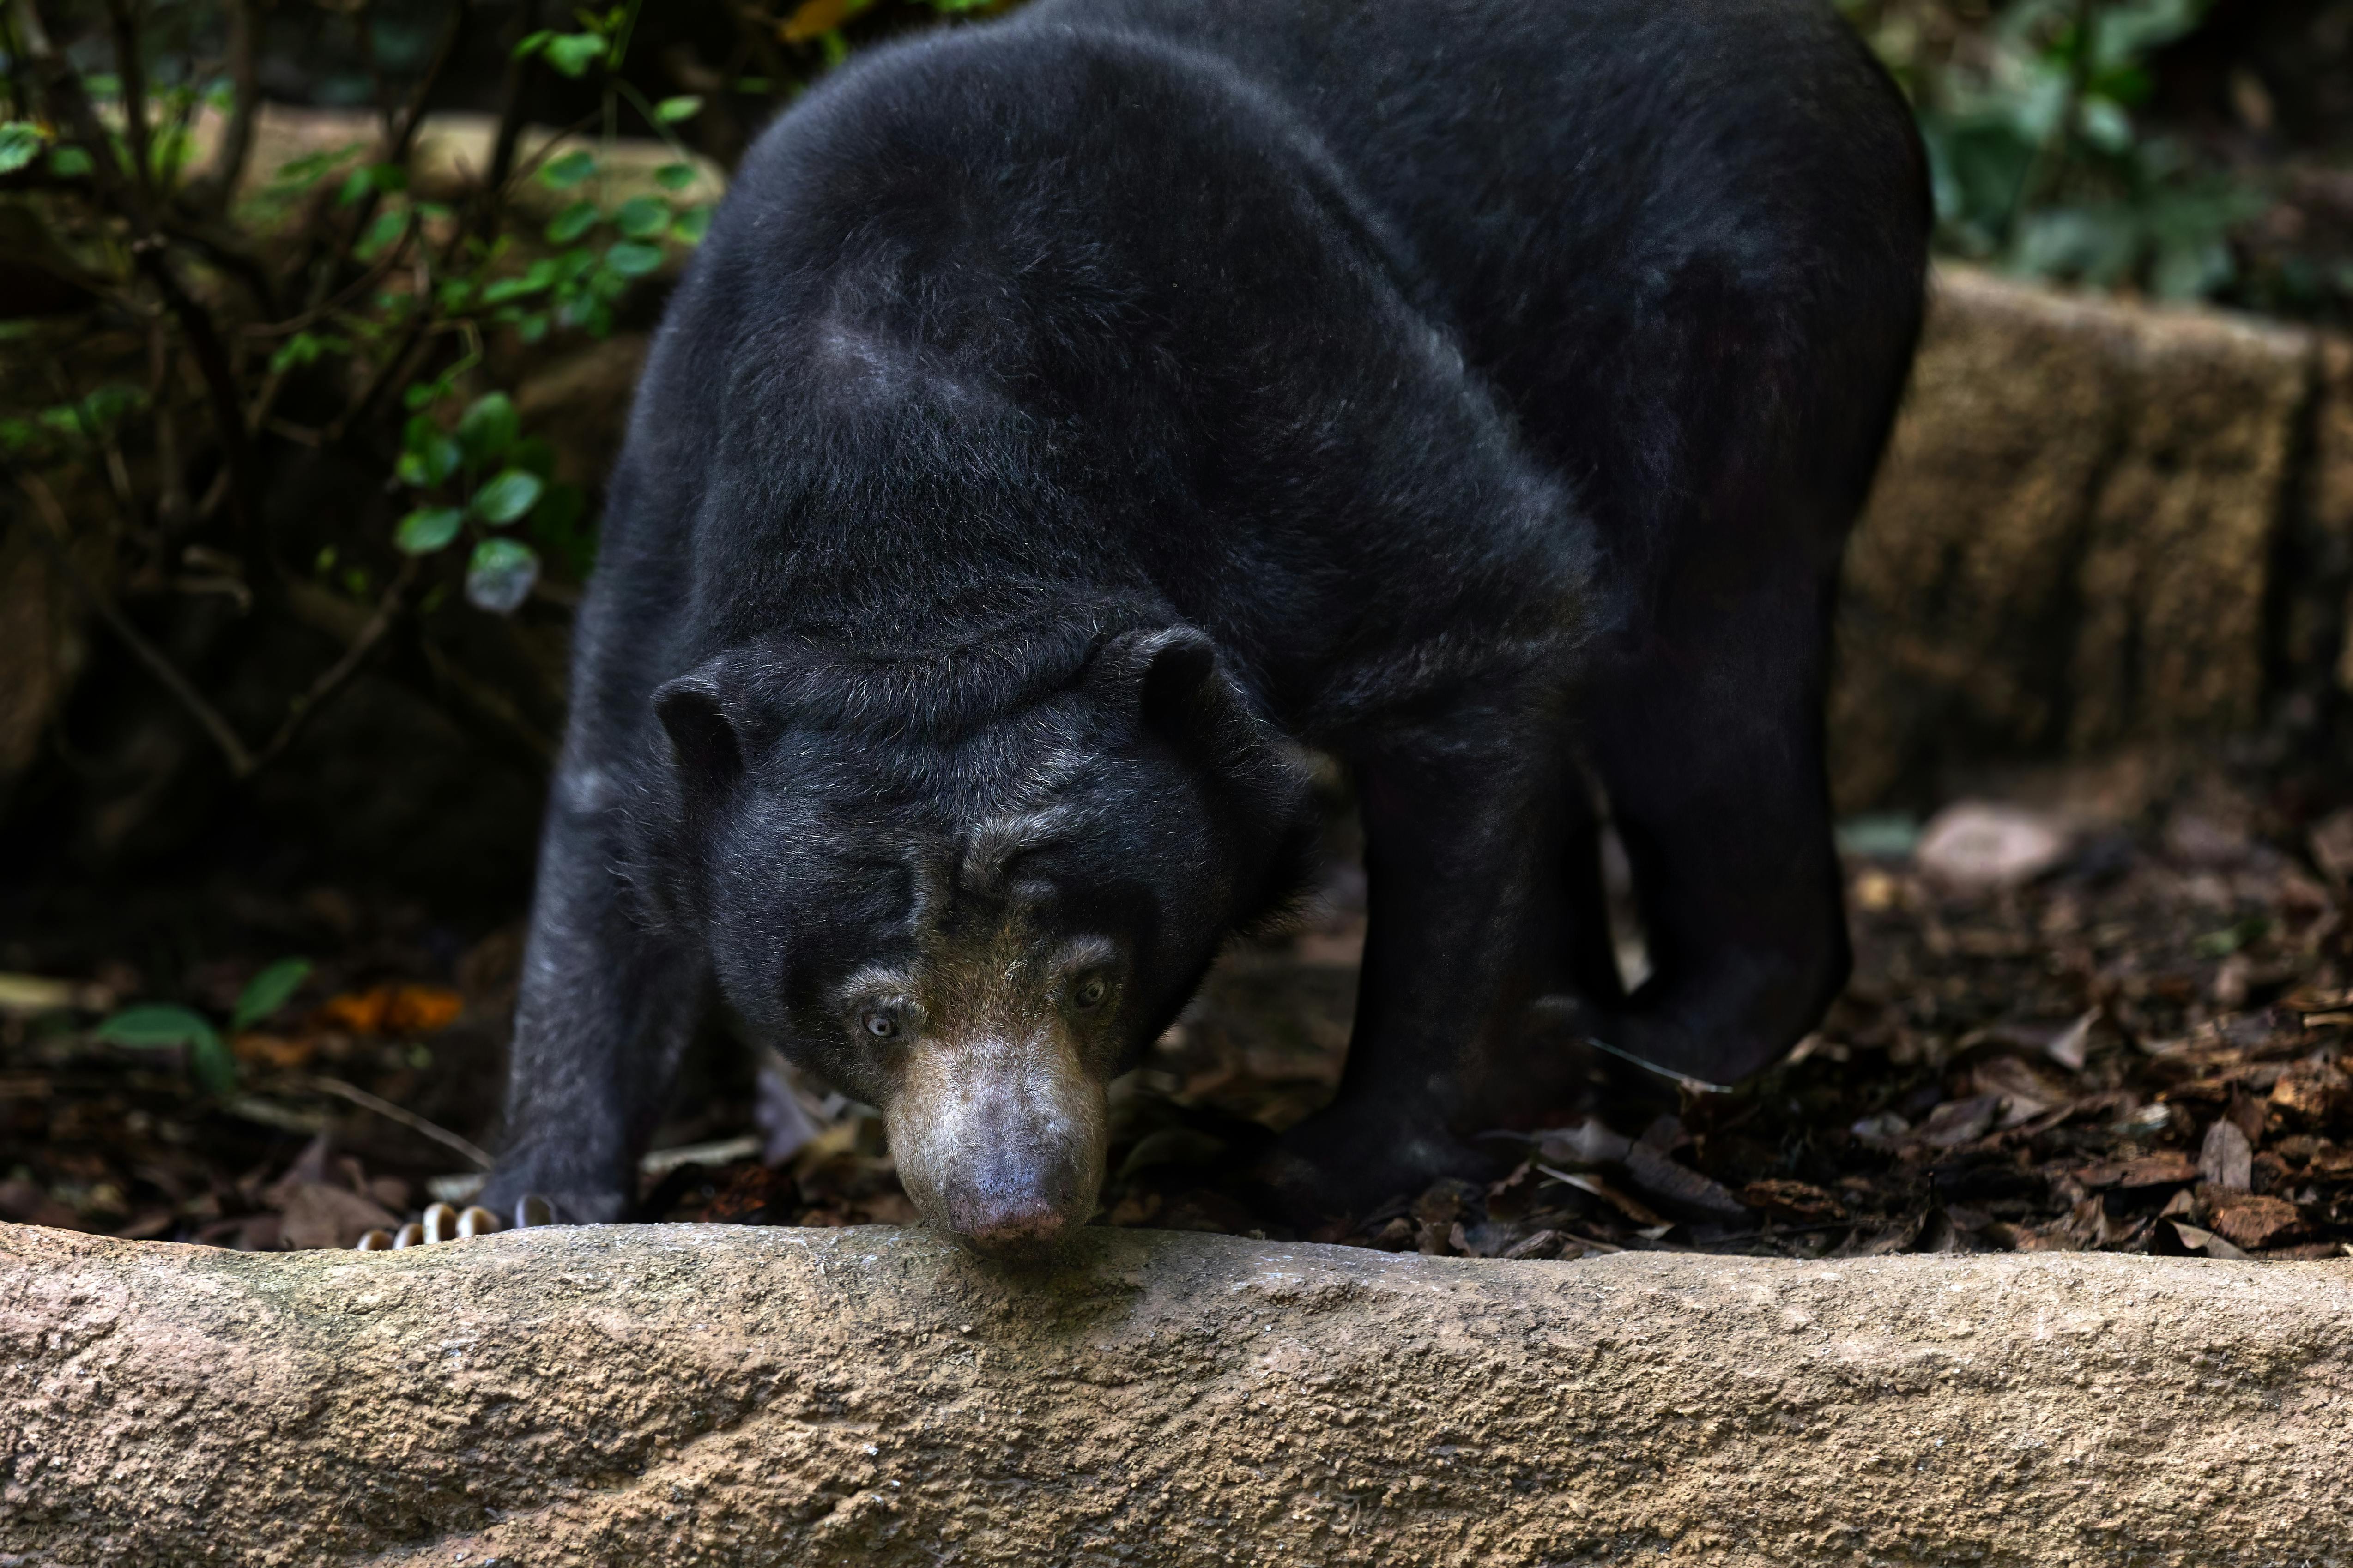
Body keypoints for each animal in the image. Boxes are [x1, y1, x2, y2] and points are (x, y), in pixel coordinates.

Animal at [478, 0, 1930, 1255]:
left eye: (1090, 980)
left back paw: (1671, 1041)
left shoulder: (1261, 344)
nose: (1014, 1207)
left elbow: (1476, 611)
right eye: (878, 1016)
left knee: (1696, 654)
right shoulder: (676, 481)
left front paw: (1337, 1163)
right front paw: (521, 1205)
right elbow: (609, 795)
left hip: (1751, 302)